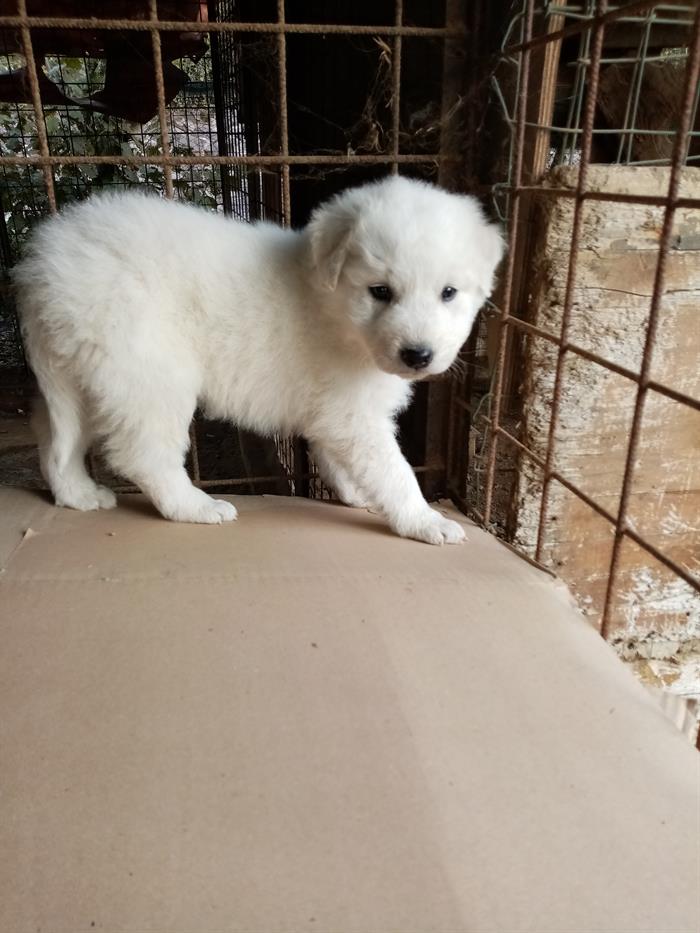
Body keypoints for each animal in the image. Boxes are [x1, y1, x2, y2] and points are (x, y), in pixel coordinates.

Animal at [15, 173, 504, 548]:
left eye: (448, 292)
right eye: (380, 291)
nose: (418, 355)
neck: (334, 310)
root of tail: (43, 268)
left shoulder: (335, 413)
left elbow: (337, 461)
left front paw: (357, 495)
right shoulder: (353, 414)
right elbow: (393, 470)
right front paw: (425, 521)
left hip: (83, 378)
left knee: (54, 442)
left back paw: (79, 495)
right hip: (151, 377)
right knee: (143, 455)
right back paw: (196, 507)